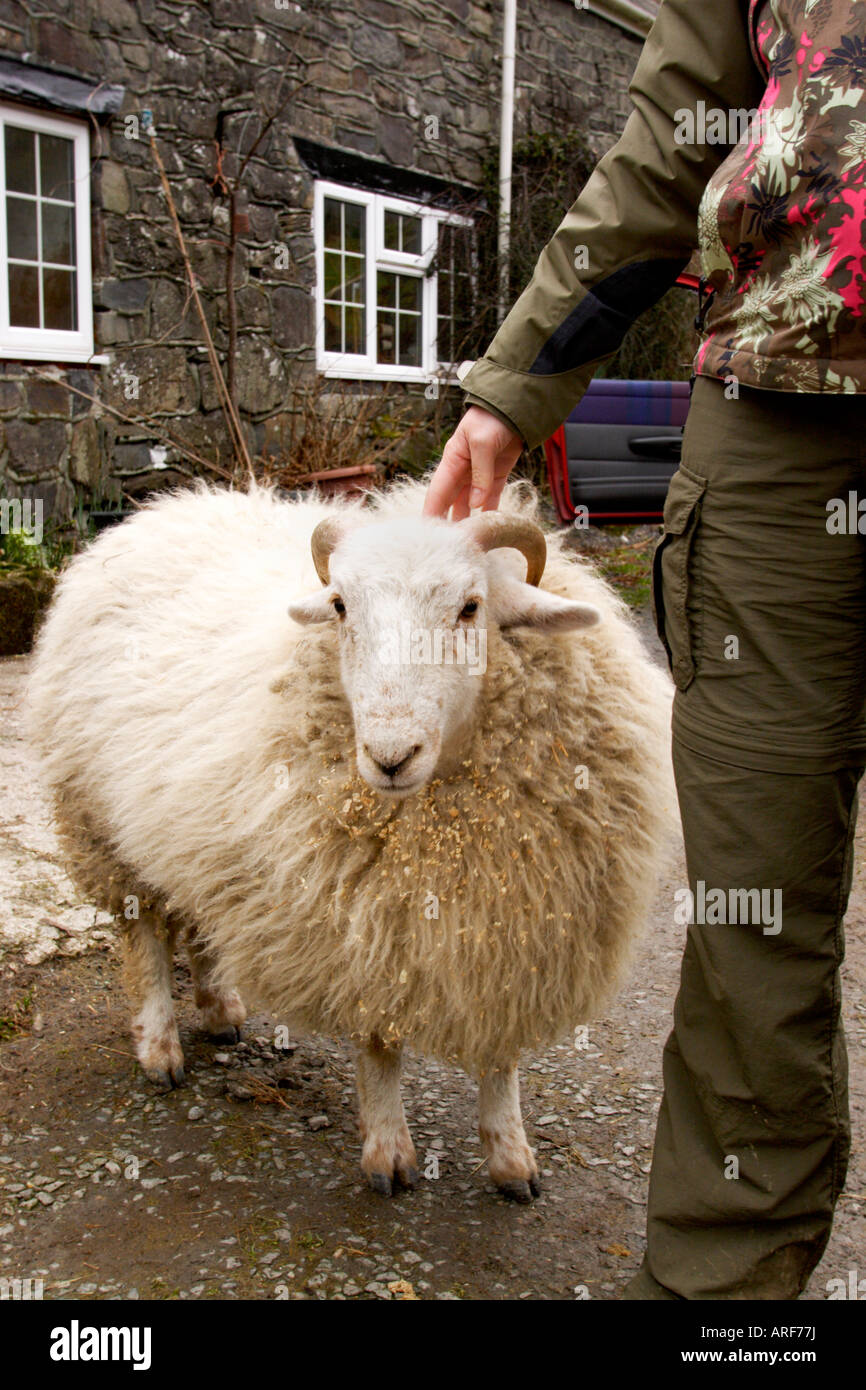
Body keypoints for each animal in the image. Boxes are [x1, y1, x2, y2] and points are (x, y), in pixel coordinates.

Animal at [26, 479, 673, 1202]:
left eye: (471, 607)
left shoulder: (513, 928)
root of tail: (160, 509)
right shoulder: (363, 924)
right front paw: (388, 1150)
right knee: (144, 934)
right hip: (98, 820)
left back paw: (220, 1009)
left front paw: (511, 1157)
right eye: (340, 606)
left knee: (198, 916)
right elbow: (380, 1044)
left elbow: (500, 1052)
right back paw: (160, 1046)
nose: (390, 757)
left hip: (192, 830)